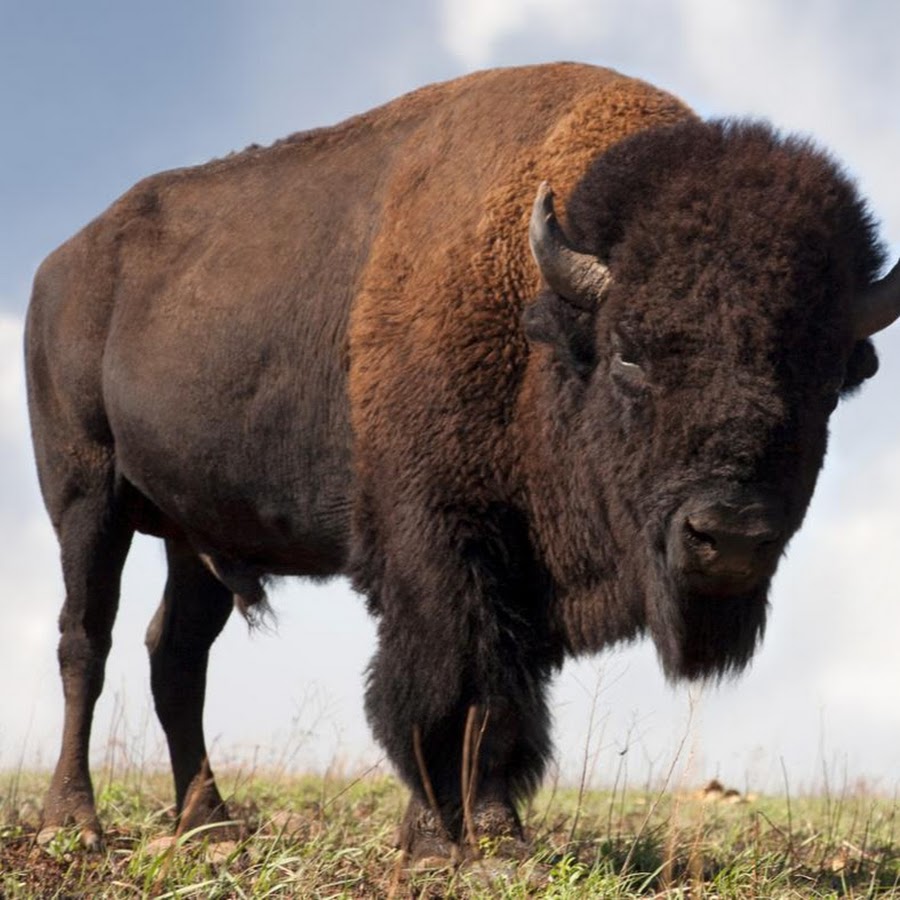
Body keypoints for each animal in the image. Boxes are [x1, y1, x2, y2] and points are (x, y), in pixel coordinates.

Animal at [25, 62, 900, 858]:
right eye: (630, 352)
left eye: (827, 377)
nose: (730, 536)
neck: (543, 325)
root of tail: (59, 267)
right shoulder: (440, 542)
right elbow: (449, 682)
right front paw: (443, 841)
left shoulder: (526, 572)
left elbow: (505, 700)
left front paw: (492, 831)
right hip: (85, 497)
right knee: (85, 641)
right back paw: (76, 821)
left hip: (197, 535)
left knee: (175, 654)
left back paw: (210, 824)